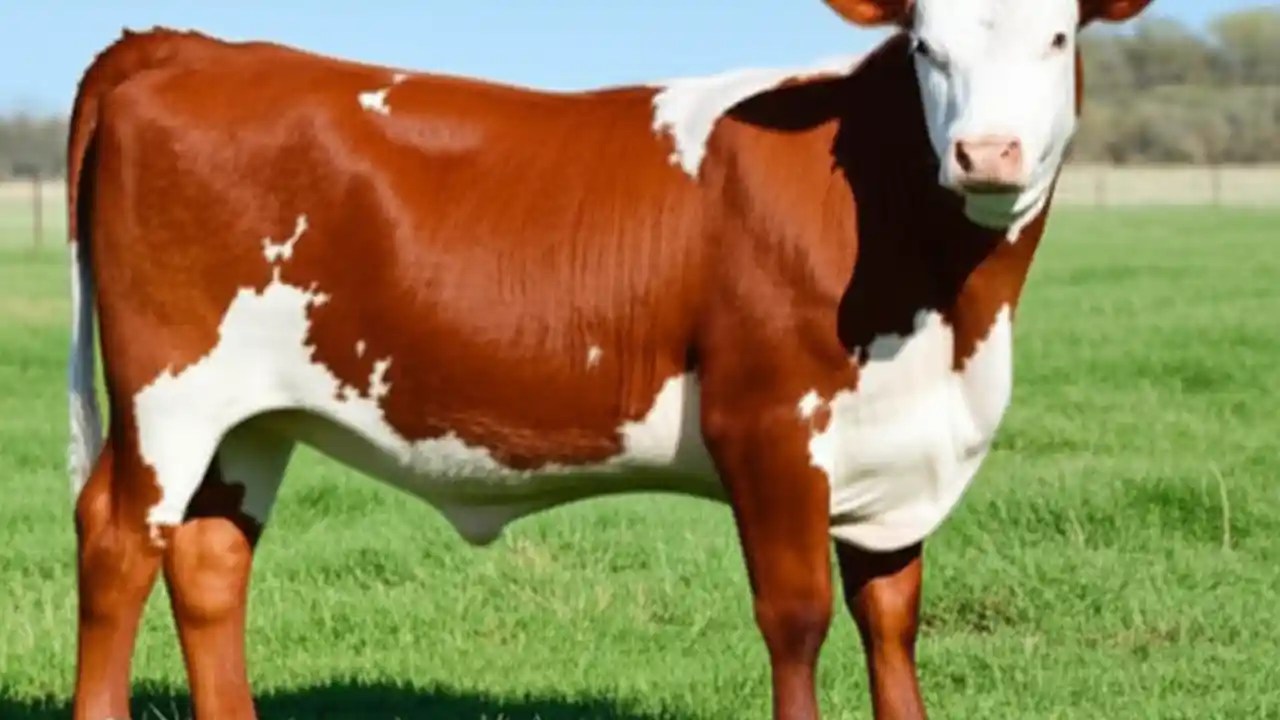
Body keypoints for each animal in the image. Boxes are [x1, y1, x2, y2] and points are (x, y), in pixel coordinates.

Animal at [63, 0, 1154, 718]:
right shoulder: (766, 427)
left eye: (1057, 37)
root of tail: (182, 47)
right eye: (926, 45)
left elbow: (890, 622)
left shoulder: (897, 448)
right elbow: (796, 619)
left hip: (252, 419)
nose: (987, 153)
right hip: (169, 396)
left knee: (210, 559)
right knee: (118, 541)